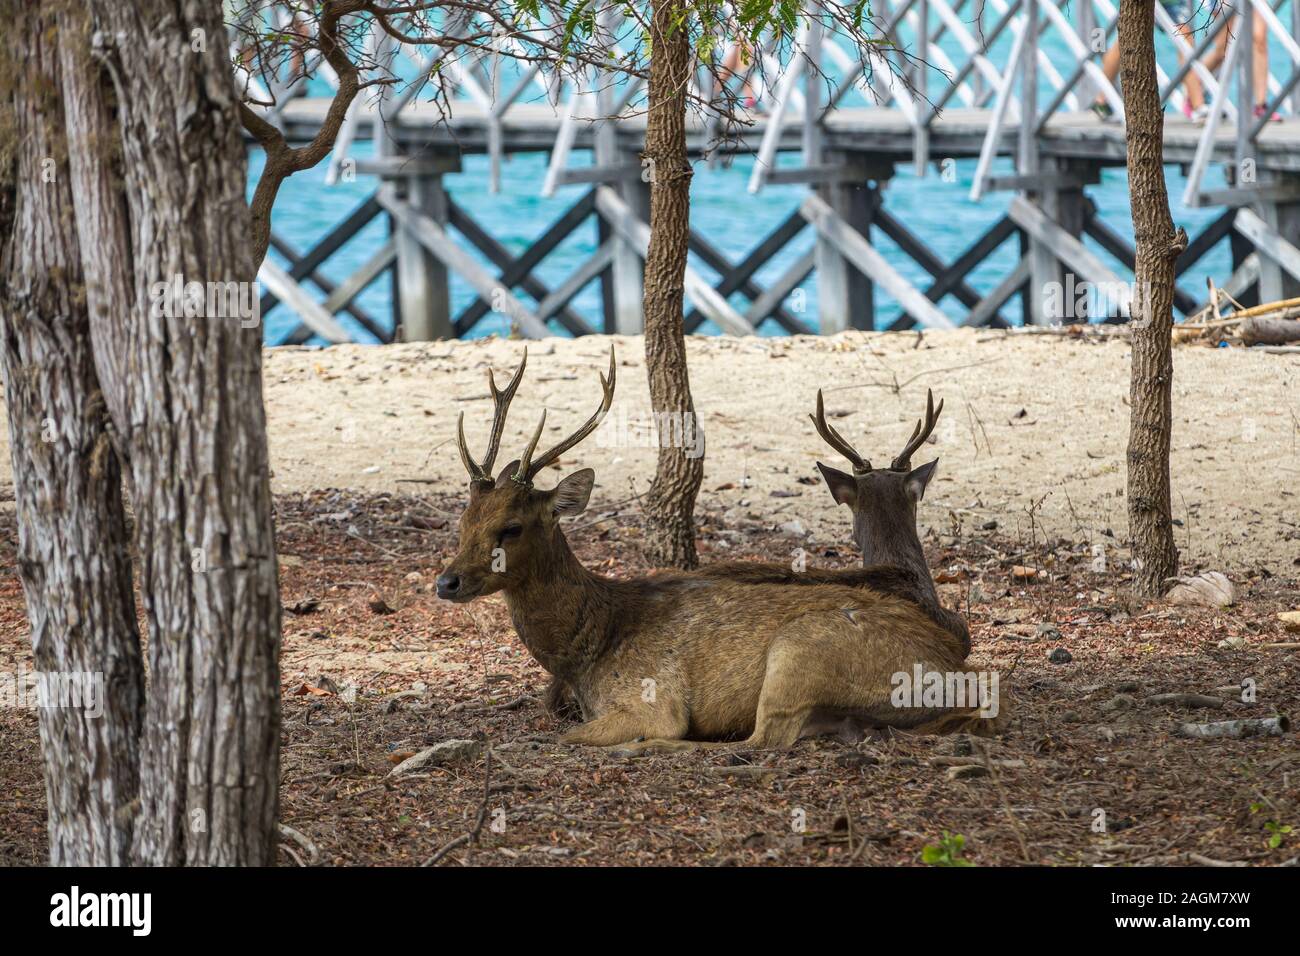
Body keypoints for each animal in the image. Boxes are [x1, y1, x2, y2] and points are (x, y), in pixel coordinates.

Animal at [437, 347, 996, 755]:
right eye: (463, 522)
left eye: (511, 528)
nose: (447, 581)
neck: (590, 647)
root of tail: (959, 670)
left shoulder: (652, 698)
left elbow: (568, 735)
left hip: (799, 652)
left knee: (761, 741)